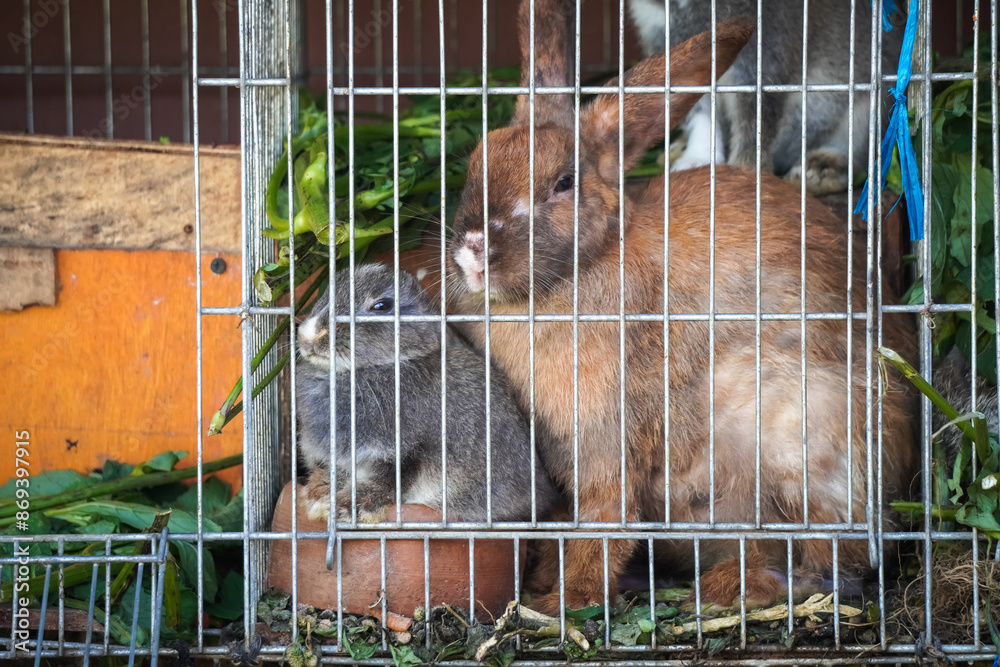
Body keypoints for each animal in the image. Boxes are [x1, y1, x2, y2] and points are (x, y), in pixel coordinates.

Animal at [295, 263, 560, 524]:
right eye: (326, 293)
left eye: (382, 306)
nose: (310, 335)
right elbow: (329, 473)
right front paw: (318, 498)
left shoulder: (403, 453)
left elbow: (387, 483)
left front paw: (345, 508)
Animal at [628, 0, 906, 195]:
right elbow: (702, 119)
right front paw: (695, 162)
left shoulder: (761, 68)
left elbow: (754, 127)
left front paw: (744, 175)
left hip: (869, 110)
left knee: (861, 151)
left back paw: (817, 172)